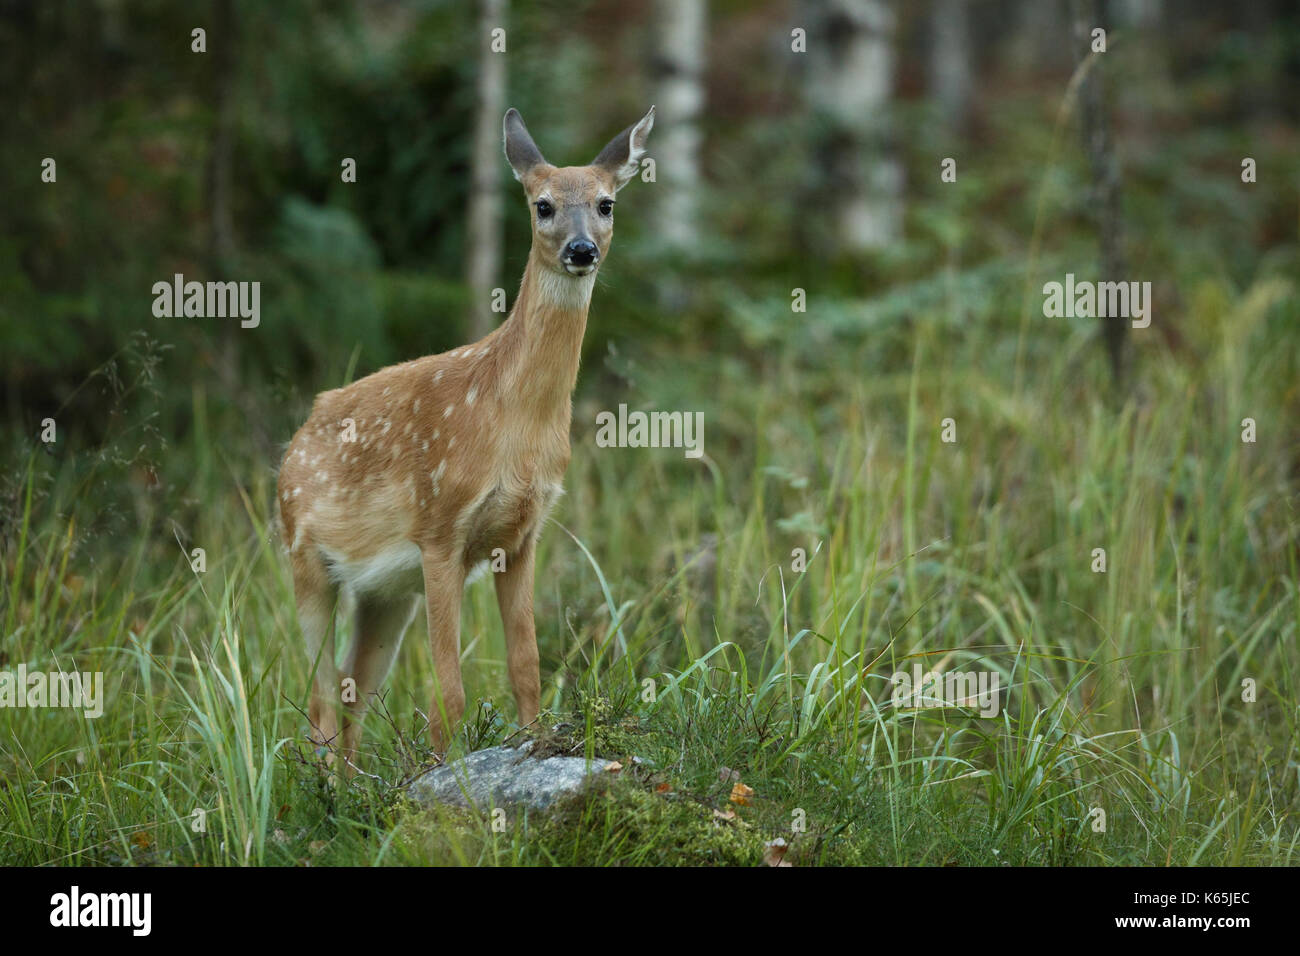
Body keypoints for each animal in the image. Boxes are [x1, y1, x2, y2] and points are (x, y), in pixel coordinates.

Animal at [277, 106, 654, 774]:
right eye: (542, 205)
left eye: (606, 203)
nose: (582, 250)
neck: (515, 422)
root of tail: (288, 452)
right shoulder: (439, 527)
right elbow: (448, 692)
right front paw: (443, 772)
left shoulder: (525, 534)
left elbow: (526, 667)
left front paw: (534, 743)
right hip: (305, 557)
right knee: (320, 701)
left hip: (384, 593)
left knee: (349, 694)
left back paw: (349, 789)